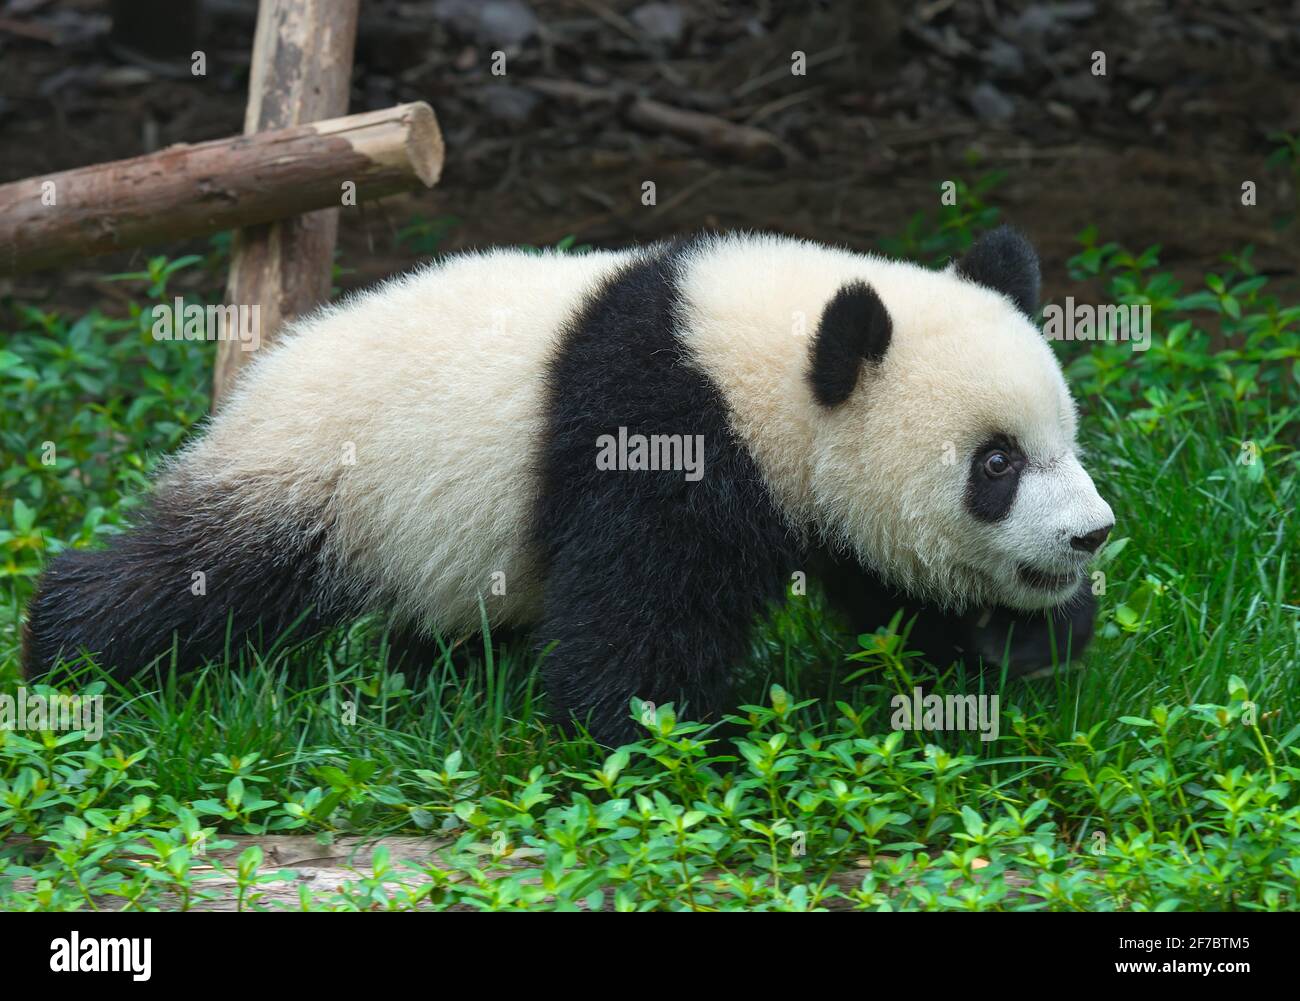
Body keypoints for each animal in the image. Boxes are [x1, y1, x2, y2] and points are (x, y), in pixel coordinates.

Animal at [23, 226, 1114, 745]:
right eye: (996, 463)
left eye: (1064, 441)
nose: (1090, 537)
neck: (756, 356)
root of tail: (262, 372)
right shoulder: (658, 424)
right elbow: (640, 615)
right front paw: (678, 739)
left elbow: (888, 580)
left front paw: (1020, 644)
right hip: (318, 473)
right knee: (195, 575)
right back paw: (65, 655)